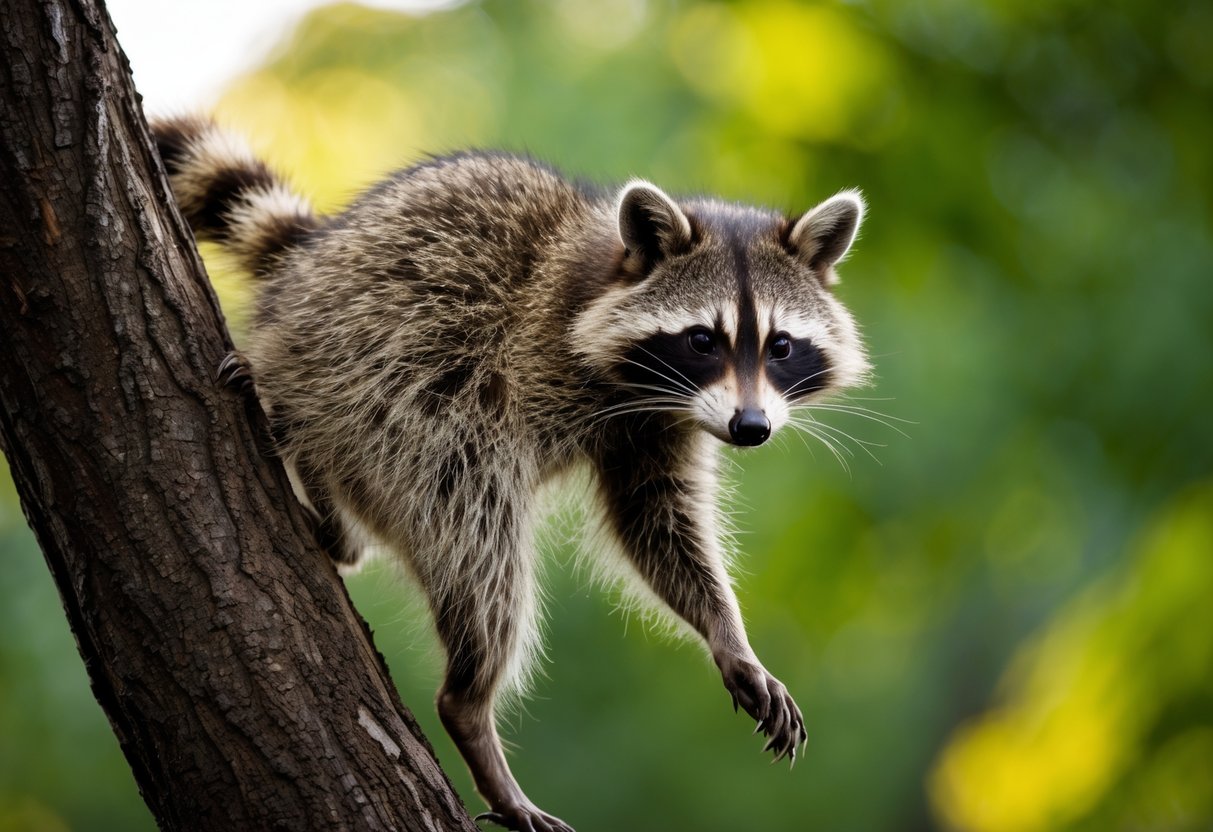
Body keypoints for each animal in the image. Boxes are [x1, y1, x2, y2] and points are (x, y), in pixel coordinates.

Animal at [152, 115, 870, 832]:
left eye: (780, 346)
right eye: (702, 340)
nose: (751, 428)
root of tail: (312, 255)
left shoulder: (657, 425)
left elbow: (657, 522)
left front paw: (729, 637)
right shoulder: (531, 345)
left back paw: (334, 521)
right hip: (367, 360)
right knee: (476, 528)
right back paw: (467, 703)